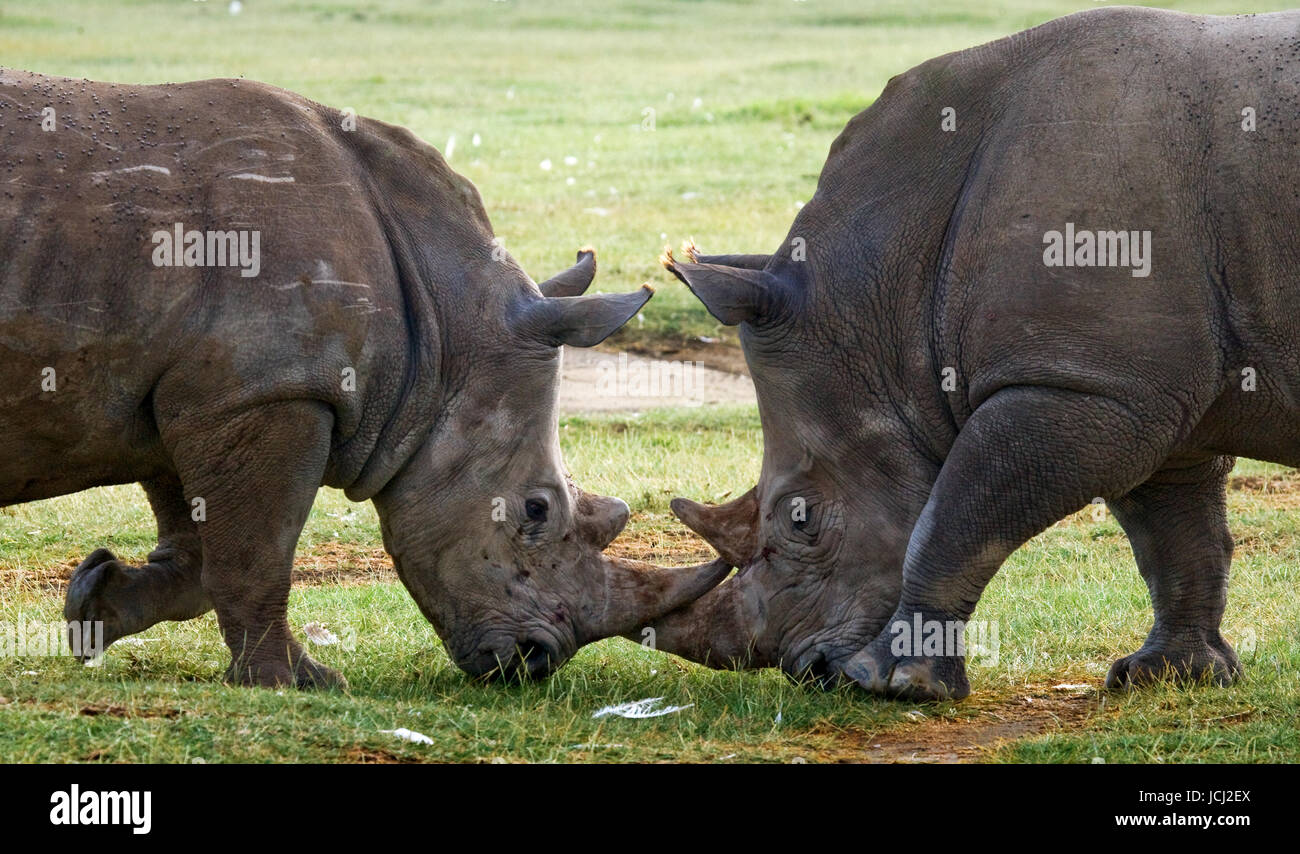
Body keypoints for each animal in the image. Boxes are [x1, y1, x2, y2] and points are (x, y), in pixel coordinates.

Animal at [0, 69, 727, 688]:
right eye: (535, 510)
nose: (533, 662)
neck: (446, 328)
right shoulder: (270, 391)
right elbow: (255, 557)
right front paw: (294, 684)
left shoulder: (200, 393)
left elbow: (200, 558)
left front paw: (91, 606)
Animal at [652, 6, 1299, 700]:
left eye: (802, 521)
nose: (810, 671)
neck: (887, 304)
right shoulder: (1138, 389)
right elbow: (1176, 533)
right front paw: (1170, 675)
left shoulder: (1083, 387)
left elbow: (952, 523)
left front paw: (891, 682)